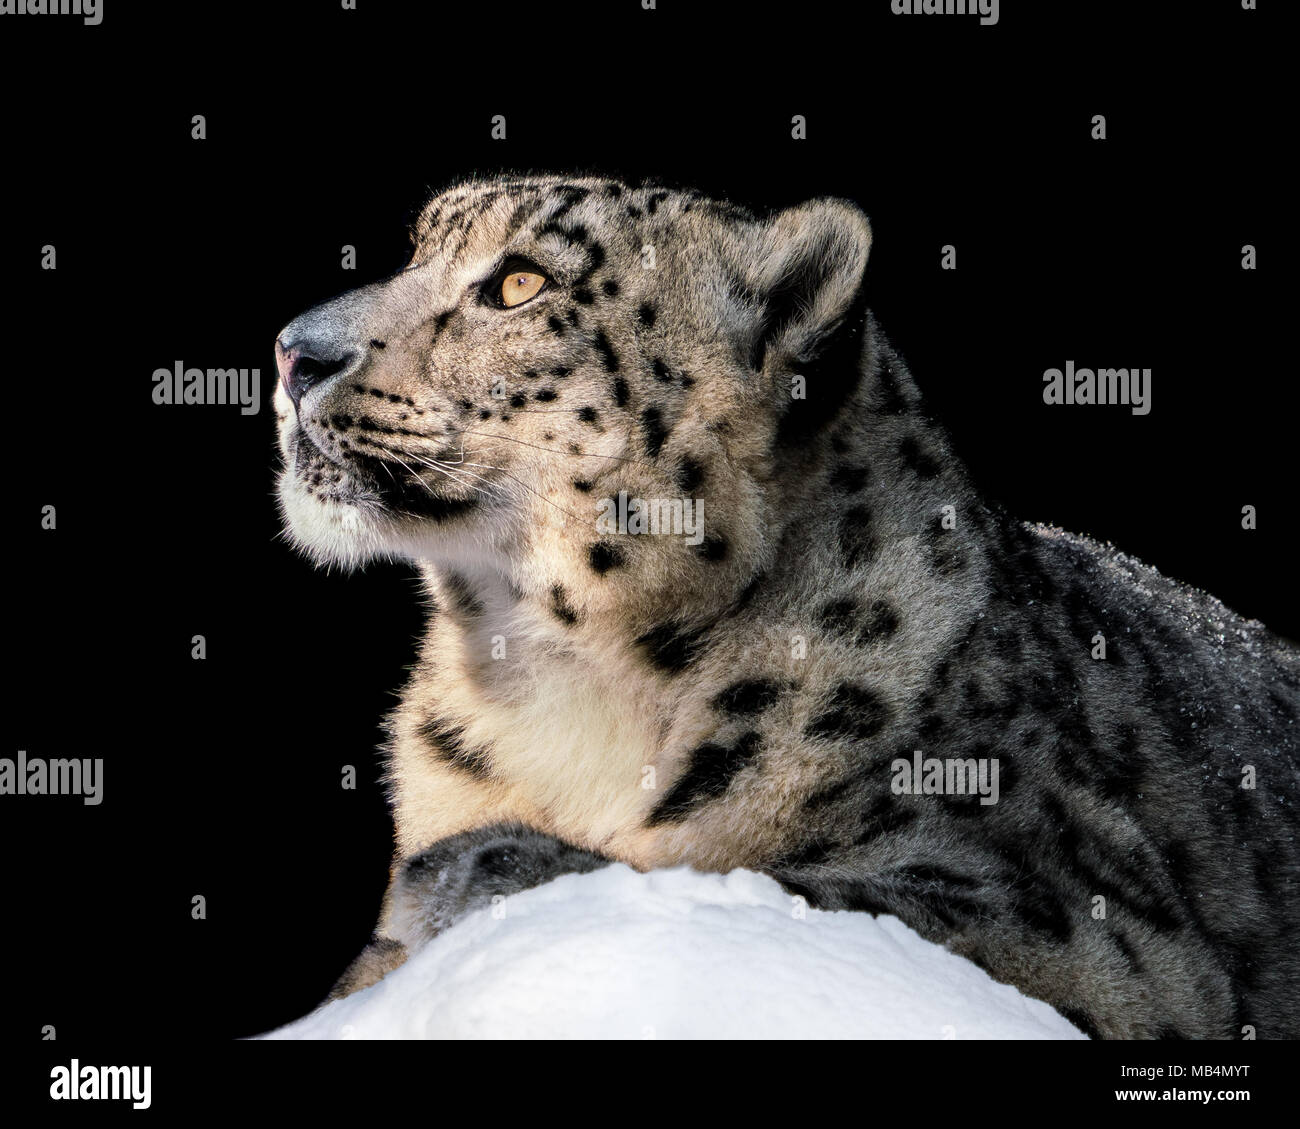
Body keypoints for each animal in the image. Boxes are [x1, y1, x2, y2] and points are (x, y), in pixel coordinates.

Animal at [271, 174, 1300, 1039]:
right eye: (416, 247)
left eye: (522, 283)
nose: (290, 354)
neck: (548, 681)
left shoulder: (1094, 936)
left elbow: (782, 883)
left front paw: (472, 870)